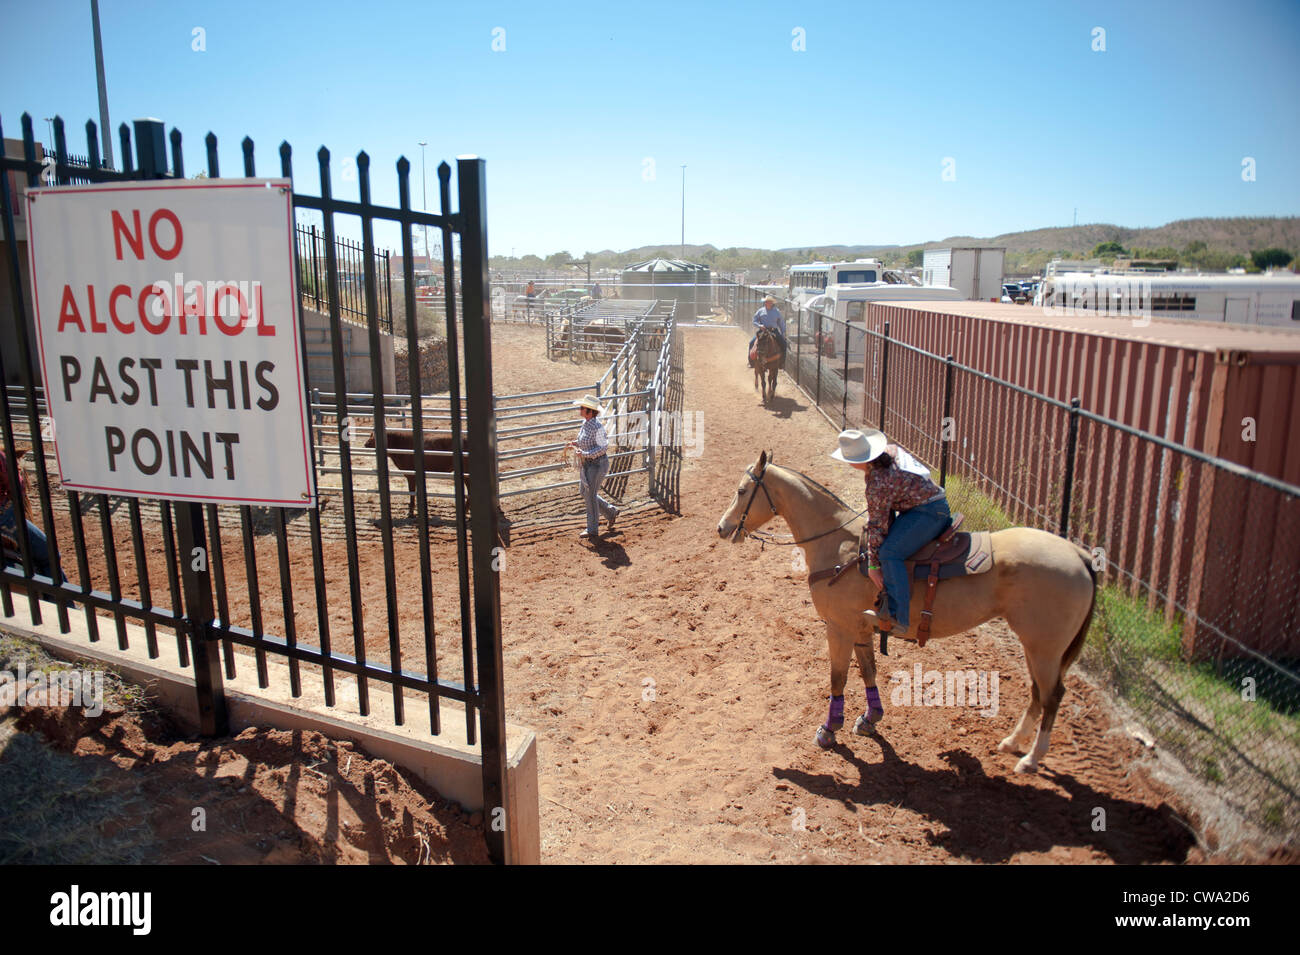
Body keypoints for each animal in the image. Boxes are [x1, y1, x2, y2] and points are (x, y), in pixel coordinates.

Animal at [715, 451, 1097, 774]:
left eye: (741, 490)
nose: (722, 528)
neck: (837, 545)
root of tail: (1080, 556)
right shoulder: (861, 629)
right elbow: (868, 672)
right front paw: (869, 719)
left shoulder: (838, 627)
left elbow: (838, 677)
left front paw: (828, 729)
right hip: (1035, 645)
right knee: (1038, 692)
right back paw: (1012, 742)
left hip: (1045, 648)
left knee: (1052, 695)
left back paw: (1031, 759)